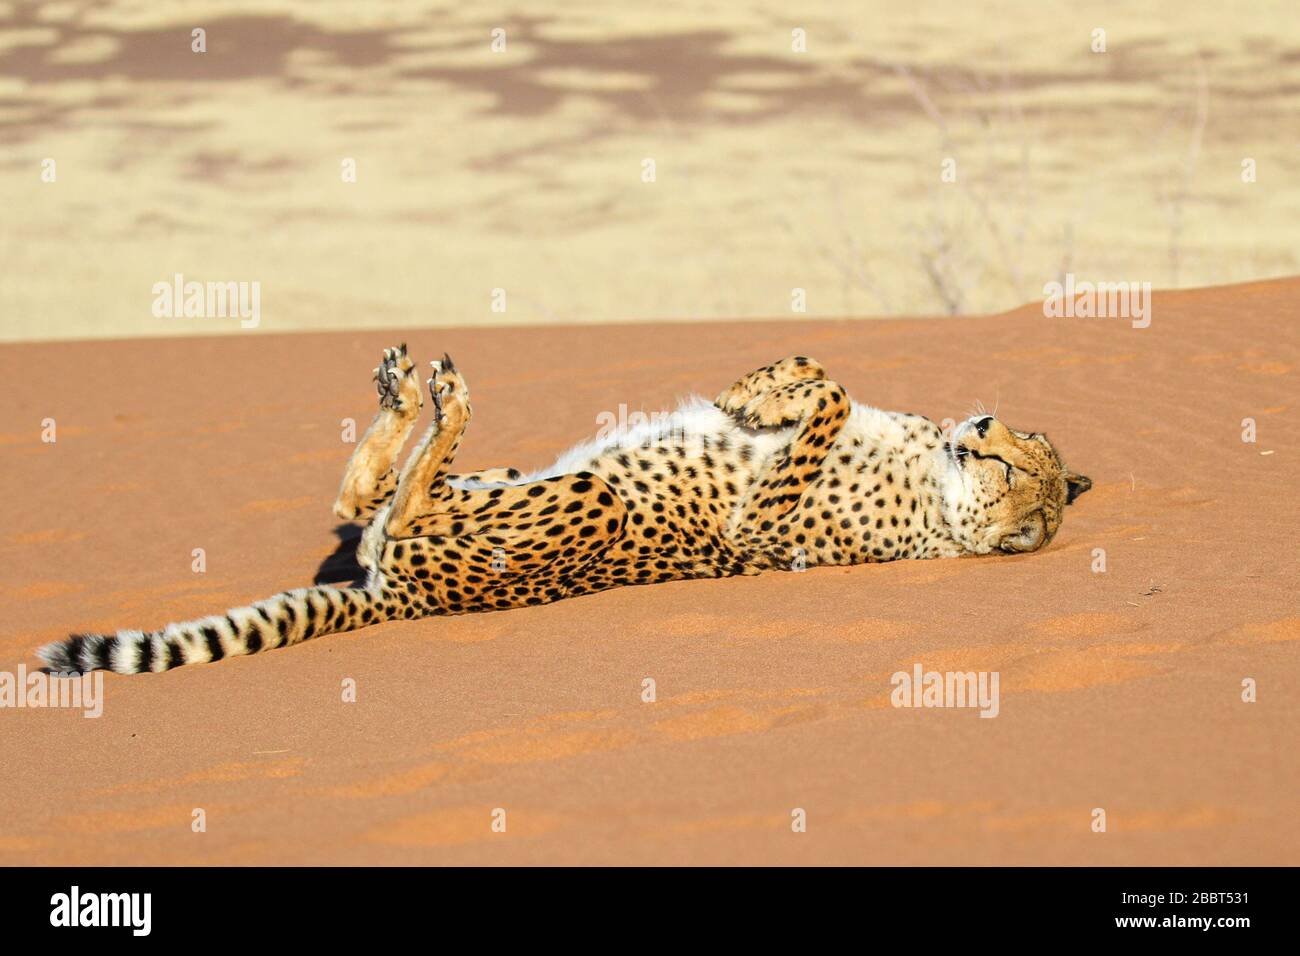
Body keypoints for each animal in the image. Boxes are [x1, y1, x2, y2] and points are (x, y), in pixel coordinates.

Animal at [38, 347, 1090, 674]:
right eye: (1020, 445)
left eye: (1010, 472)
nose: (980, 427)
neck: (939, 485)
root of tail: (395, 600)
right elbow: (822, 372)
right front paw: (758, 388)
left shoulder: (757, 533)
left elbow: (828, 398)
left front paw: (761, 402)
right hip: (507, 480)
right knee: (371, 498)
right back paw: (403, 397)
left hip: (585, 499)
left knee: (393, 503)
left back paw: (440, 397)